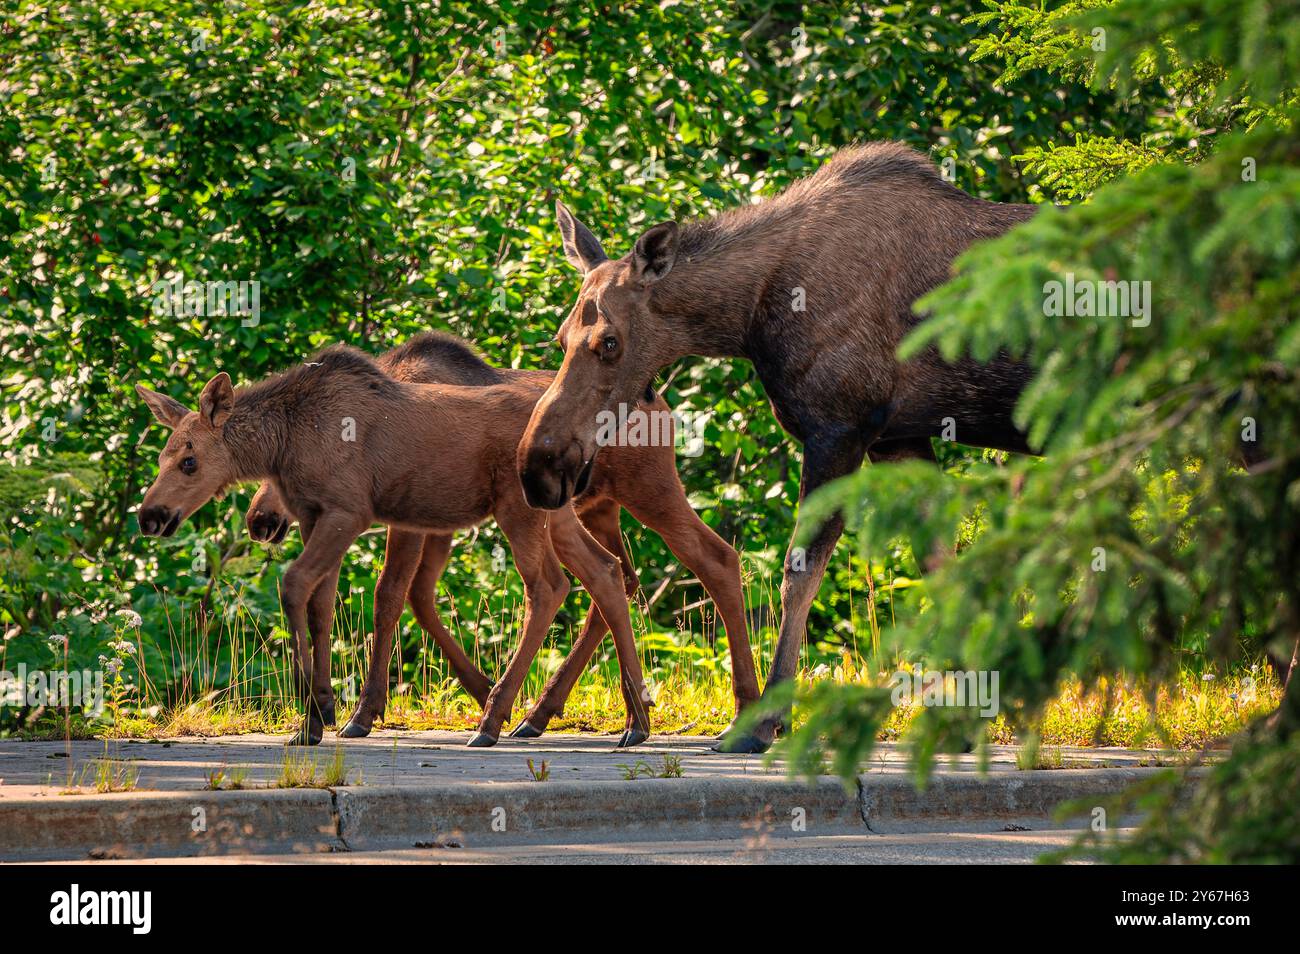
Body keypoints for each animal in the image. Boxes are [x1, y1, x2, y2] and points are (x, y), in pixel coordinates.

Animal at [240, 332, 760, 740]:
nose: (259, 519)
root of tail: (664, 405)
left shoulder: (411, 519)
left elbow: (390, 596)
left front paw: (365, 713)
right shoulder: (436, 521)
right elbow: (419, 598)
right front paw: (479, 687)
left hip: (649, 491)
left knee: (714, 558)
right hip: (596, 511)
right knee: (617, 580)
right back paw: (547, 712)